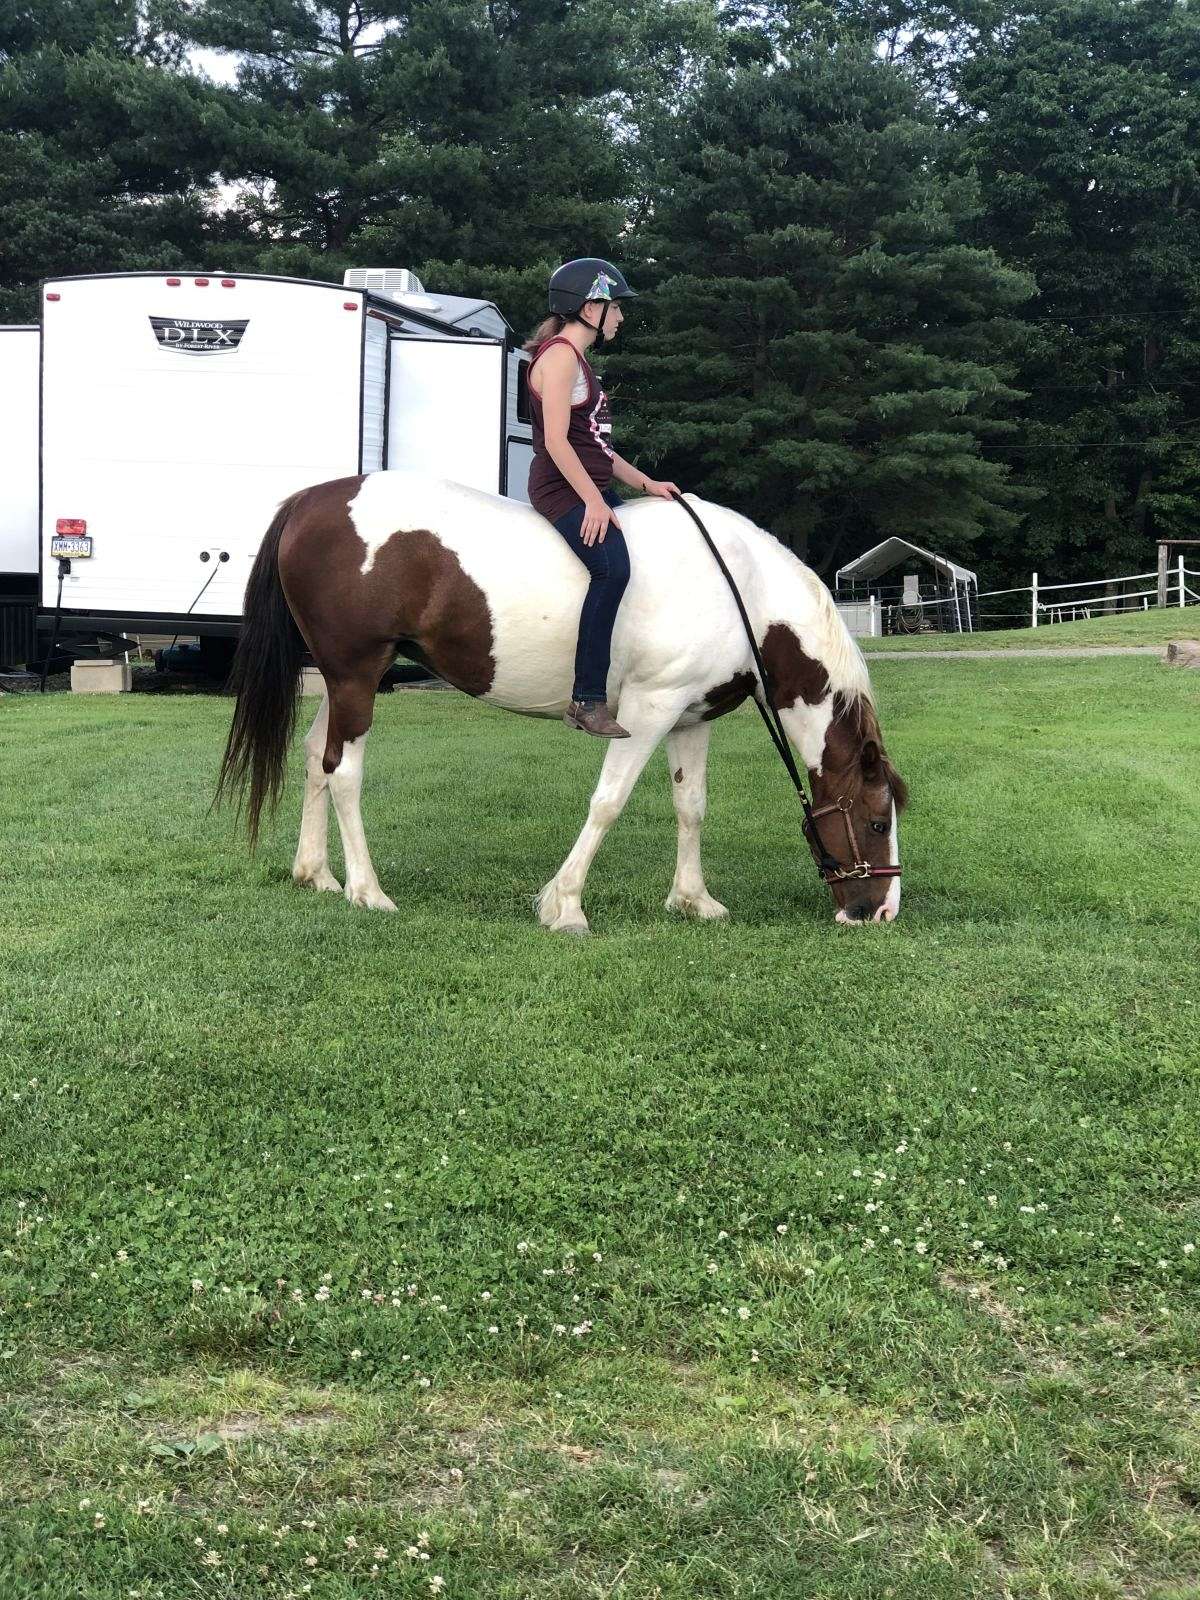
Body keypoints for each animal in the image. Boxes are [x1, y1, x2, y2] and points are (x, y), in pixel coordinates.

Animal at [216, 470, 907, 928]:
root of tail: (312, 499)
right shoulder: (647, 713)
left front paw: (694, 900)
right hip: (357, 674)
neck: (741, 587)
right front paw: (565, 905)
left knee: (318, 757)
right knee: (346, 772)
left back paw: (317, 875)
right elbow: (608, 803)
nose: (880, 911)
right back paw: (367, 889)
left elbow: (691, 807)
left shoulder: (690, 717)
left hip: (345, 678)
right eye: (877, 821)